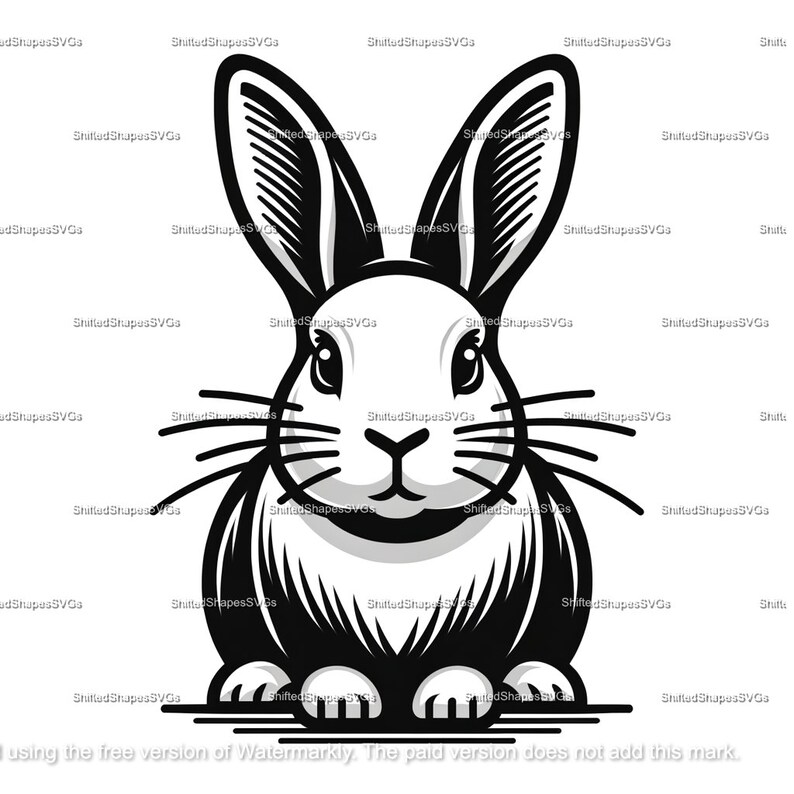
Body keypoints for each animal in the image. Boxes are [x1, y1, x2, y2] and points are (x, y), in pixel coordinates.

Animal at [156, 53, 642, 728]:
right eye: (324, 358)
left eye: (469, 357)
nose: (396, 439)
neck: (397, 541)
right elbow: (322, 656)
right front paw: (340, 700)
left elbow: (471, 655)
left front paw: (454, 700)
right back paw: (250, 684)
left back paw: (543, 684)